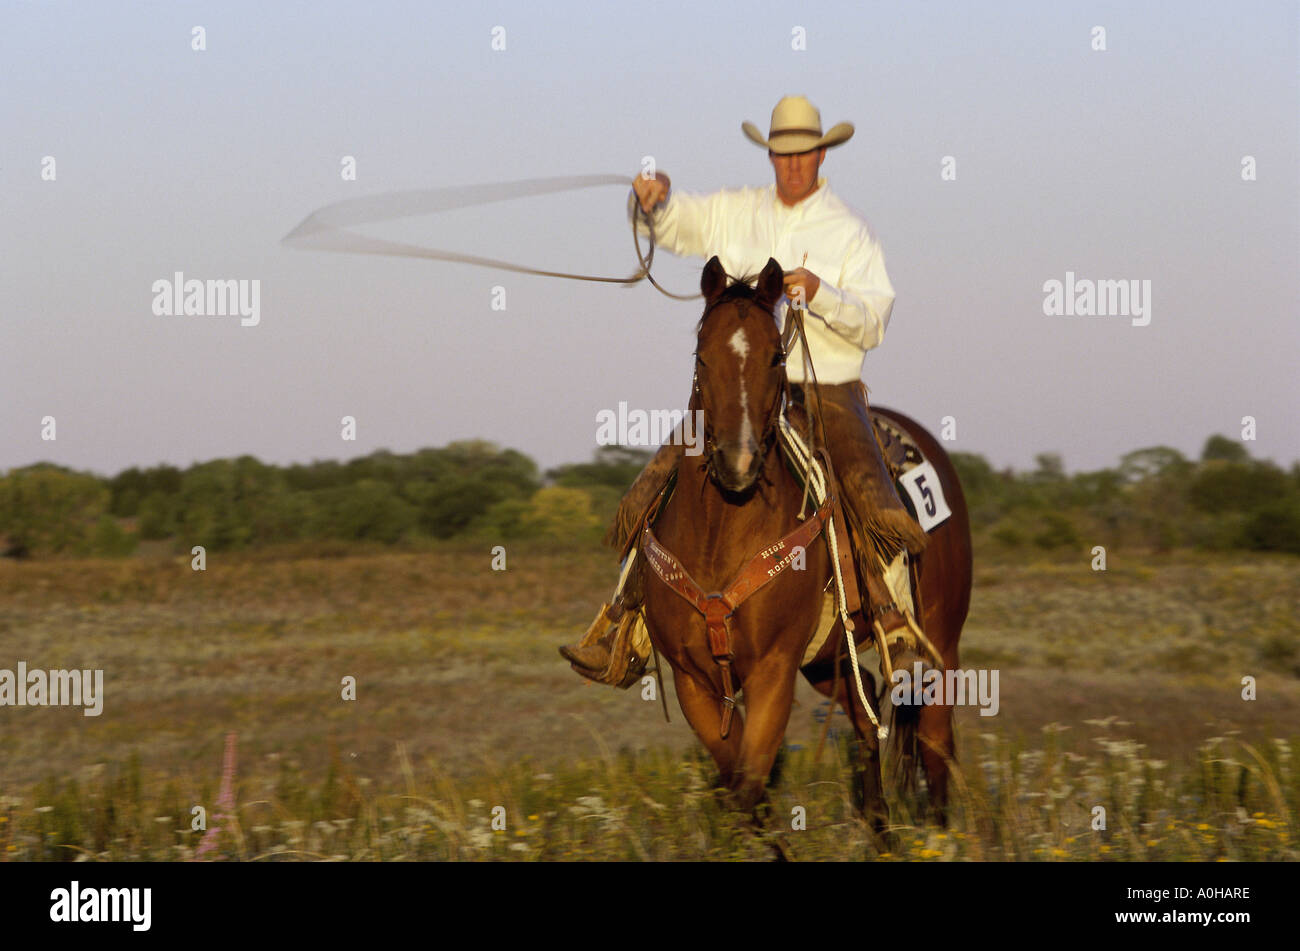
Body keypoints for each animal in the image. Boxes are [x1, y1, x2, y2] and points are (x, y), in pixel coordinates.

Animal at [637, 254, 972, 839]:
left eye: (776, 355)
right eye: (702, 355)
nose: (738, 461)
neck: (720, 535)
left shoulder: (772, 671)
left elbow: (749, 787)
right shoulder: (692, 680)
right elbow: (744, 794)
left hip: (939, 645)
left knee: (935, 746)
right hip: (828, 659)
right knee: (865, 709)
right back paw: (880, 829)